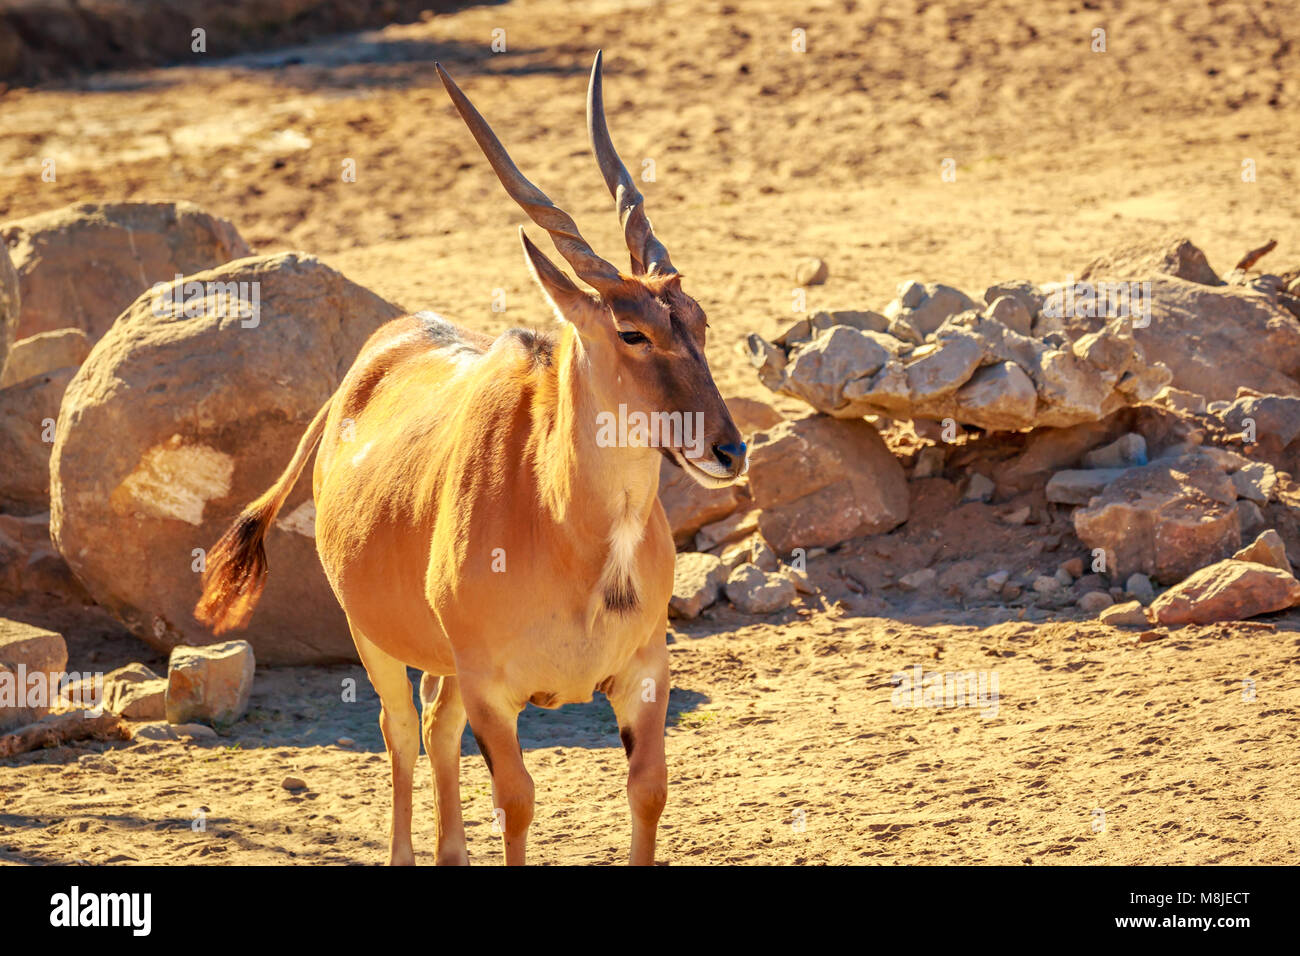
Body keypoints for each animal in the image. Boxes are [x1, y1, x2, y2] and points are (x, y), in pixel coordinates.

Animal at [194, 52, 747, 866]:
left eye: (699, 321)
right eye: (632, 331)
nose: (727, 448)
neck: (571, 534)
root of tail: (363, 371)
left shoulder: (643, 675)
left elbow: (648, 791)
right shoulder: (495, 692)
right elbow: (516, 804)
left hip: (444, 666)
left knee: (433, 722)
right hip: (375, 641)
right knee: (402, 728)